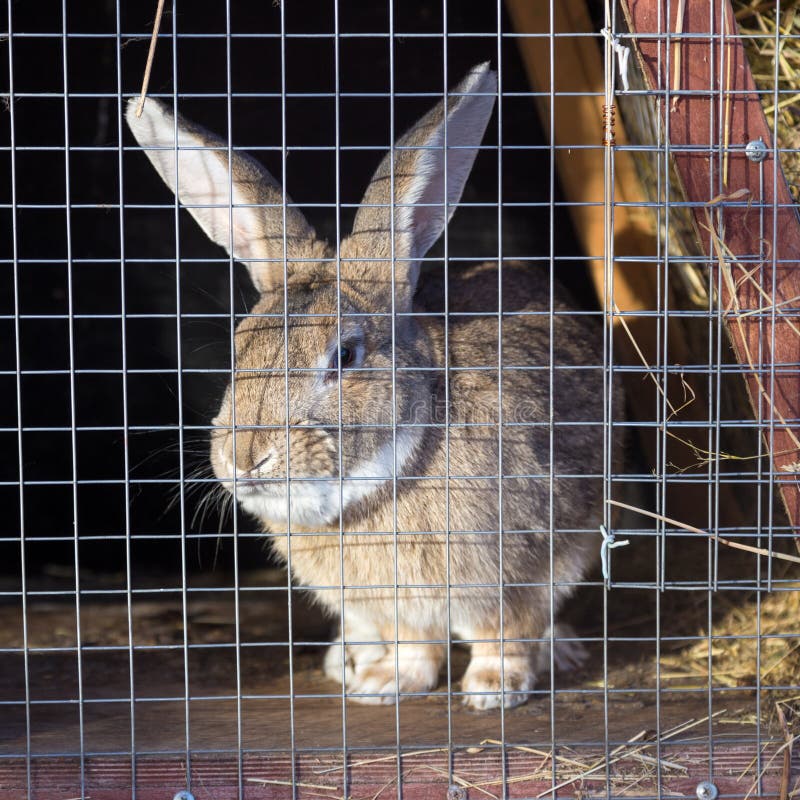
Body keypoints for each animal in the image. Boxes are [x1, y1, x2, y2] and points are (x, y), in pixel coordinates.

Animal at [126, 61, 618, 710]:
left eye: (345, 355)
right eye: (239, 346)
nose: (245, 459)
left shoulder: (520, 565)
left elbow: (506, 630)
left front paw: (493, 691)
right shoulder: (398, 608)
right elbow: (414, 646)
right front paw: (385, 686)